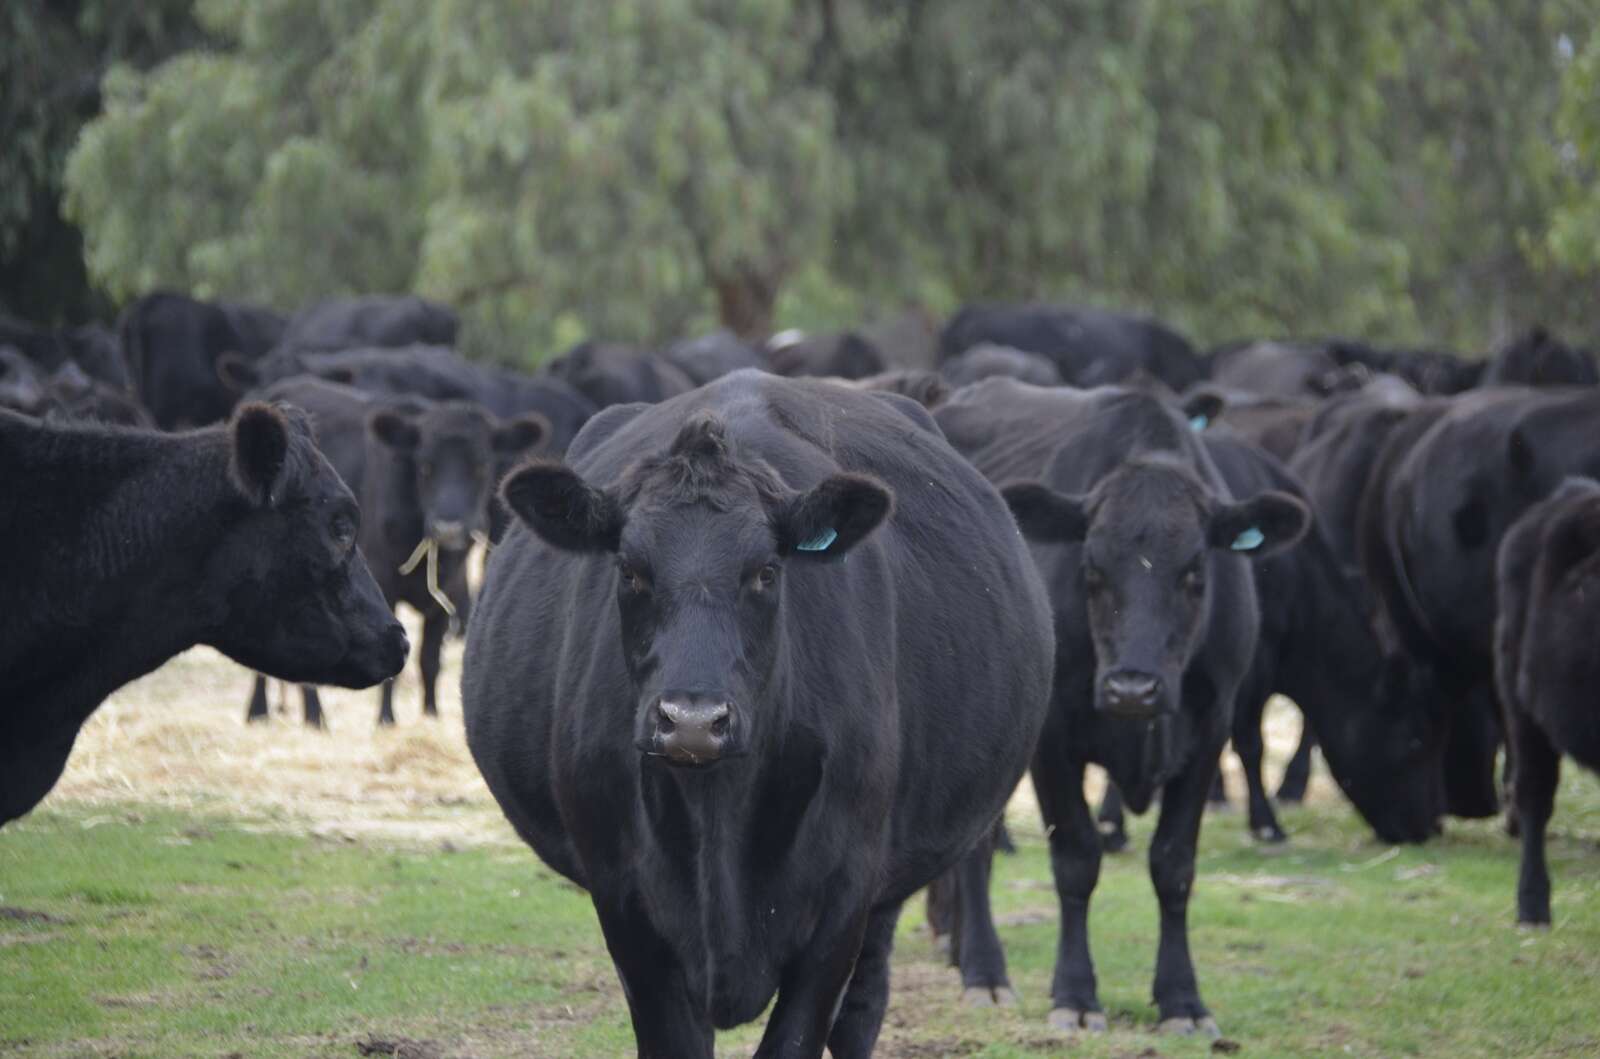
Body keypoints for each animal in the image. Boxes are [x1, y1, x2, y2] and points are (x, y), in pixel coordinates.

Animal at [241, 377, 546, 727]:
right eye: (425, 466)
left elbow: (430, 659)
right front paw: (386, 718)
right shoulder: (382, 583)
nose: (448, 527)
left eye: (481, 466)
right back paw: (265, 711)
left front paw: (430, 715)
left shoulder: (449, 590)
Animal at [463, 371, 1054, 1057]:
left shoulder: (842, 901)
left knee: (863, 1009)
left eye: (767, 572)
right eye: (631, 571)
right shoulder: (625, 903)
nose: (693, 721)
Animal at [930, 378, 1308, 1036]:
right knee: (977, 844)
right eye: (1091, 568)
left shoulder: (1211, 728)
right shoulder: (1052, 738)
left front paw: (1183, 1000)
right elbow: (1076, 860)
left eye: (1195, 571)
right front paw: (1076, 996)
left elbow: (1174, 865)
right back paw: (983, 969)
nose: (1133, 689)